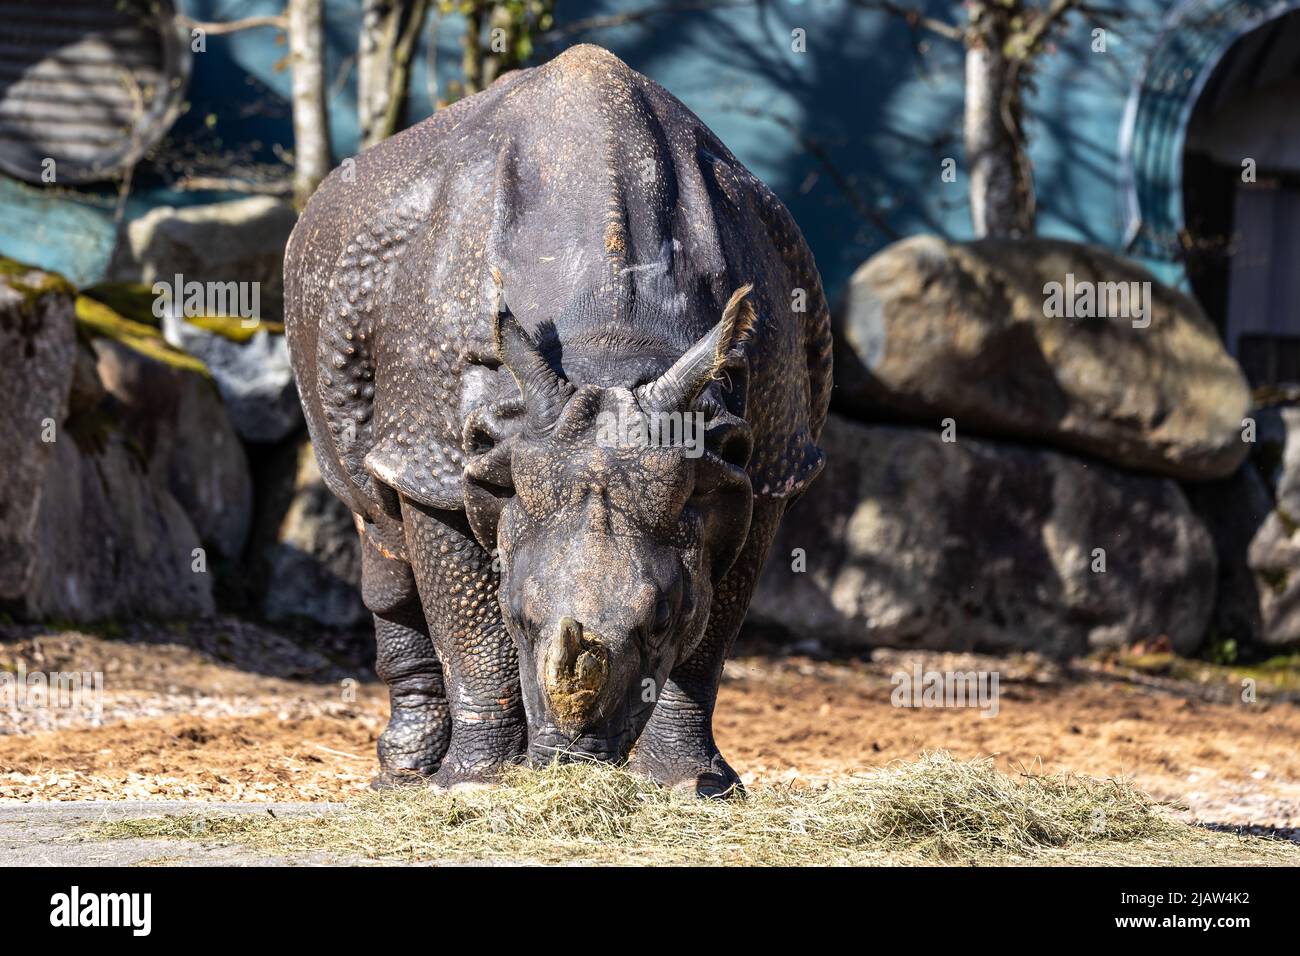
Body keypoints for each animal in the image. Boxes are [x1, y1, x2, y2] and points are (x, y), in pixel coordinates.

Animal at [284, 44, 832, 795]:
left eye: (662, 618)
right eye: (519, 615)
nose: (574, 760)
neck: (612, 348)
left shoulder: (762, 461)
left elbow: (710, 639)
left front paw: (693, 786)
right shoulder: (433, 460)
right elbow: (469, 628)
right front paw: (473, 784)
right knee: (380, 533)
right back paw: (403, 775)